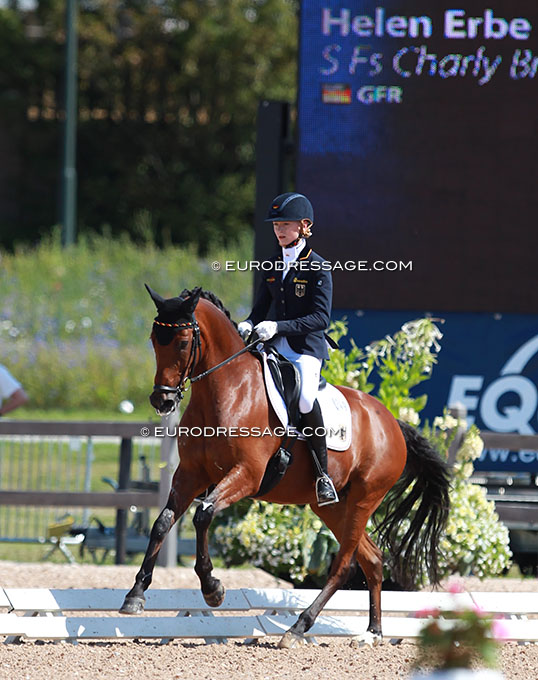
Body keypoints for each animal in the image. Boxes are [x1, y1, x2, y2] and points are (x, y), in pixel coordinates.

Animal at [120, 286, 450, 648]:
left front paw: (212, 589)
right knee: (372, 560)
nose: (162, 400)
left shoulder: (247, 475)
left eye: (181, 341)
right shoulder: (191, 474)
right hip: (332, 506)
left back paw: (298, 628)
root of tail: (392, 422)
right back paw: (371, 633)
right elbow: (162, 522)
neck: (228, 390)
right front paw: (135, 594)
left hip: (365, 498)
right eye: (154, 340)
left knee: (344, 566)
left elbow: (203, 514)